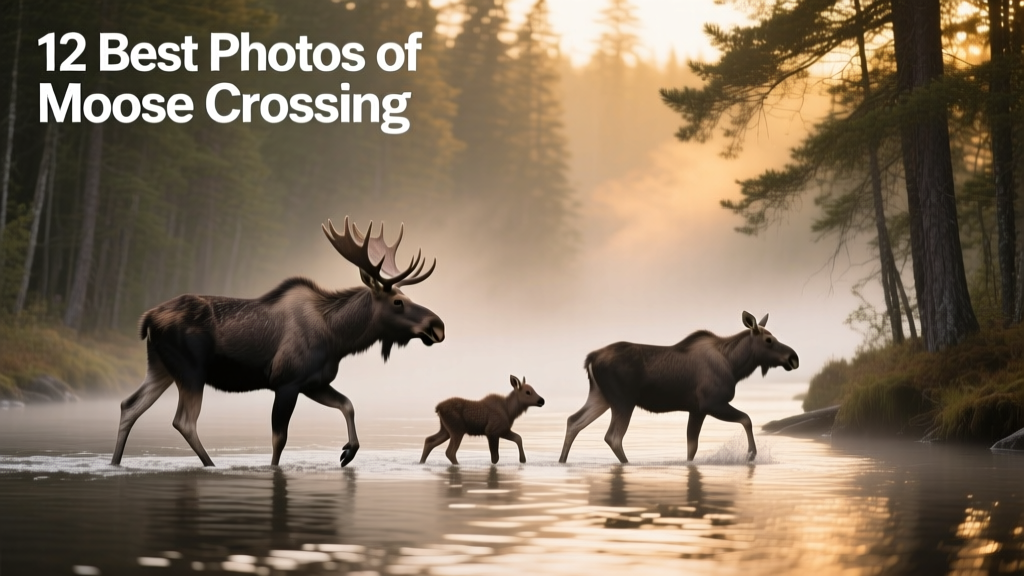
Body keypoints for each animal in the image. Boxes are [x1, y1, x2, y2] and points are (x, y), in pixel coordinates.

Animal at [110, 217, 445, 468]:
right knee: (183, 421)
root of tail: (147, 319)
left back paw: (115, 462)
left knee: (129, 405)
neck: (338, 338)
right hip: (190, 371)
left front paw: (348, 451)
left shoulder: (313, 382)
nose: (437, 326)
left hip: (161, 367)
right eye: (398, 302)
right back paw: (211, 465)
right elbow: (279, 439)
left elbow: (348, 404)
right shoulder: (287, 381)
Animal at [559, 312, 799, 464]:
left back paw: (562, 461)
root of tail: (591, 359)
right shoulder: (712, 403)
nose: (793, 357)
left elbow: (692, 446)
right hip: (623, 401)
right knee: (612, 437)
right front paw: (750, 454)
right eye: (768, 340)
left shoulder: (697, 410)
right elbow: (747, 419)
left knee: (573, 421)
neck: (735, 365)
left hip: (601, 397)